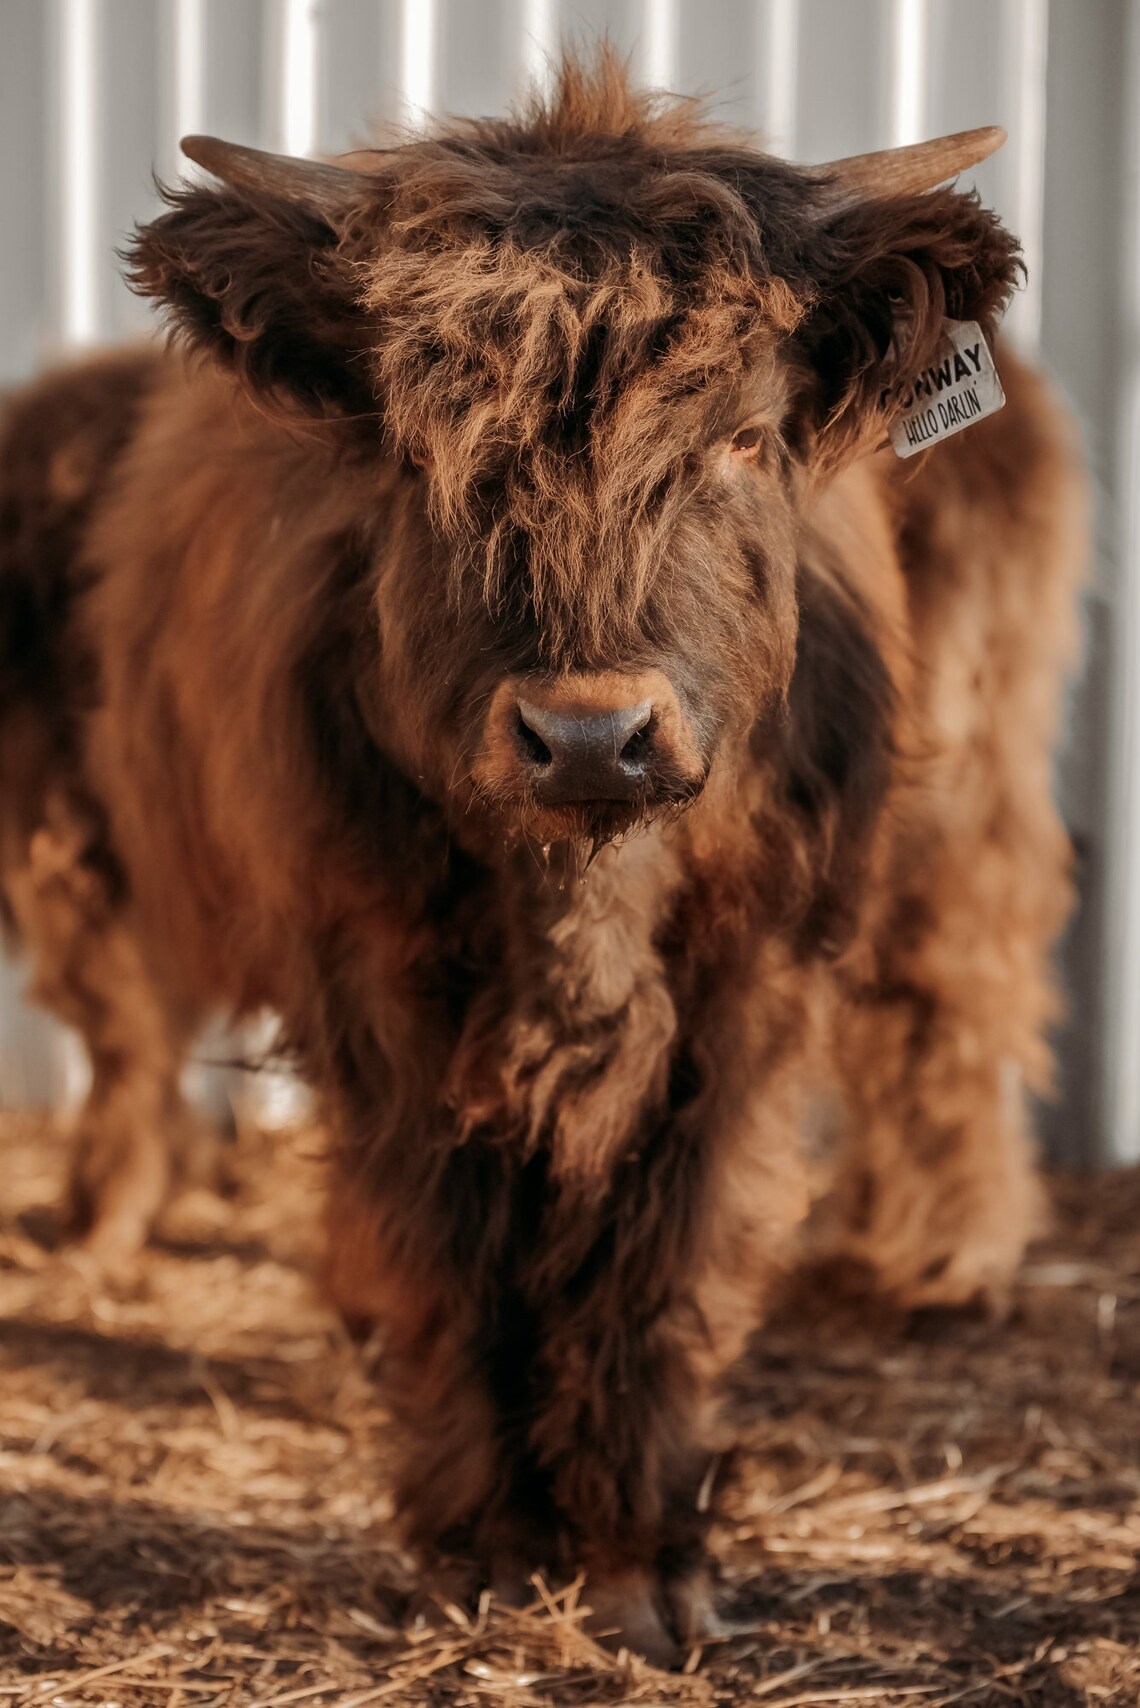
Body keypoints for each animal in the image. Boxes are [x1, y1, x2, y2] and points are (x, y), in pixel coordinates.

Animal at [0, 56, 1085, 1662]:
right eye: (423, 449)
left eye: (742, 438)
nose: (589, 737)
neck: (584, 909)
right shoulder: (373, 975)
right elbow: (454, 1250)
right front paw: (494, 1549)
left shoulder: (744, 988)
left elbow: (658, 1261)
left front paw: (639, 1560)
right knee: (125, 1023)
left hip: (964, 798)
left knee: (953, 989)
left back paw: (939, 1275)